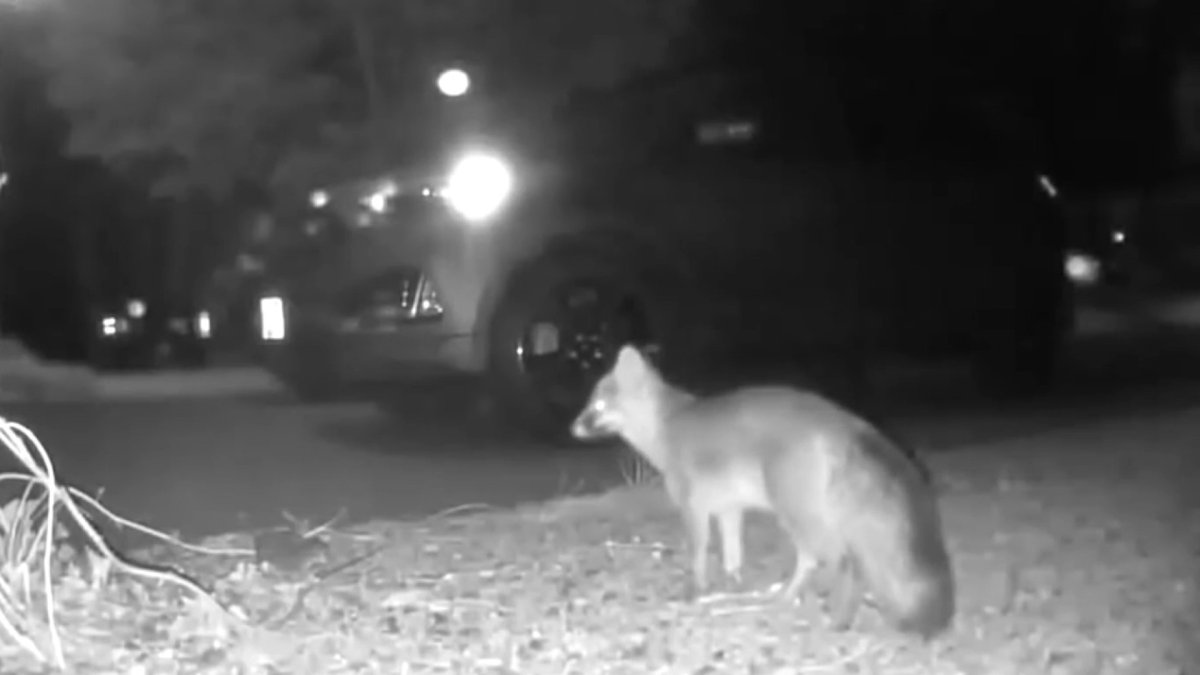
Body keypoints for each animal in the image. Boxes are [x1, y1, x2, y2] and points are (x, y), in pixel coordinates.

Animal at [570, 345, 955, 638]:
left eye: (597, 407)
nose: (572, 428)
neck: (669, 425)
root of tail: (841, 419)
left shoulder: (694, 509)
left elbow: (697, 557)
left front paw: (694, 592)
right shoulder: (729, 509)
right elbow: (732, 557)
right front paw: (733, 585)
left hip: (795, 515)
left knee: (837, 561)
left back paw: (832, 615)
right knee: (823, 560)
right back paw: (789, 598)